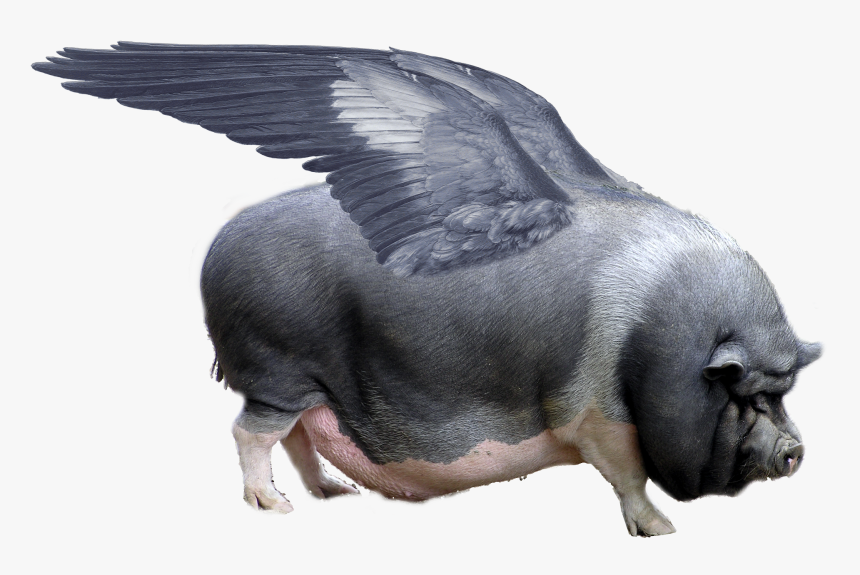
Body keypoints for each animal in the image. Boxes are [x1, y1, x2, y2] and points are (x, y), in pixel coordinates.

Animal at [33, 42, 821, 536]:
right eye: (743, 393)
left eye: (782, 391)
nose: (794, 450)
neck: (652, 341)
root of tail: (213, 251)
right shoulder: (592, 409)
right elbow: (626, 475)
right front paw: (663, 532)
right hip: (274, 363)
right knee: (250, 432)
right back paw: (277, 509)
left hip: (308, 381)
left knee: (300, 434)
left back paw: (335, 495)